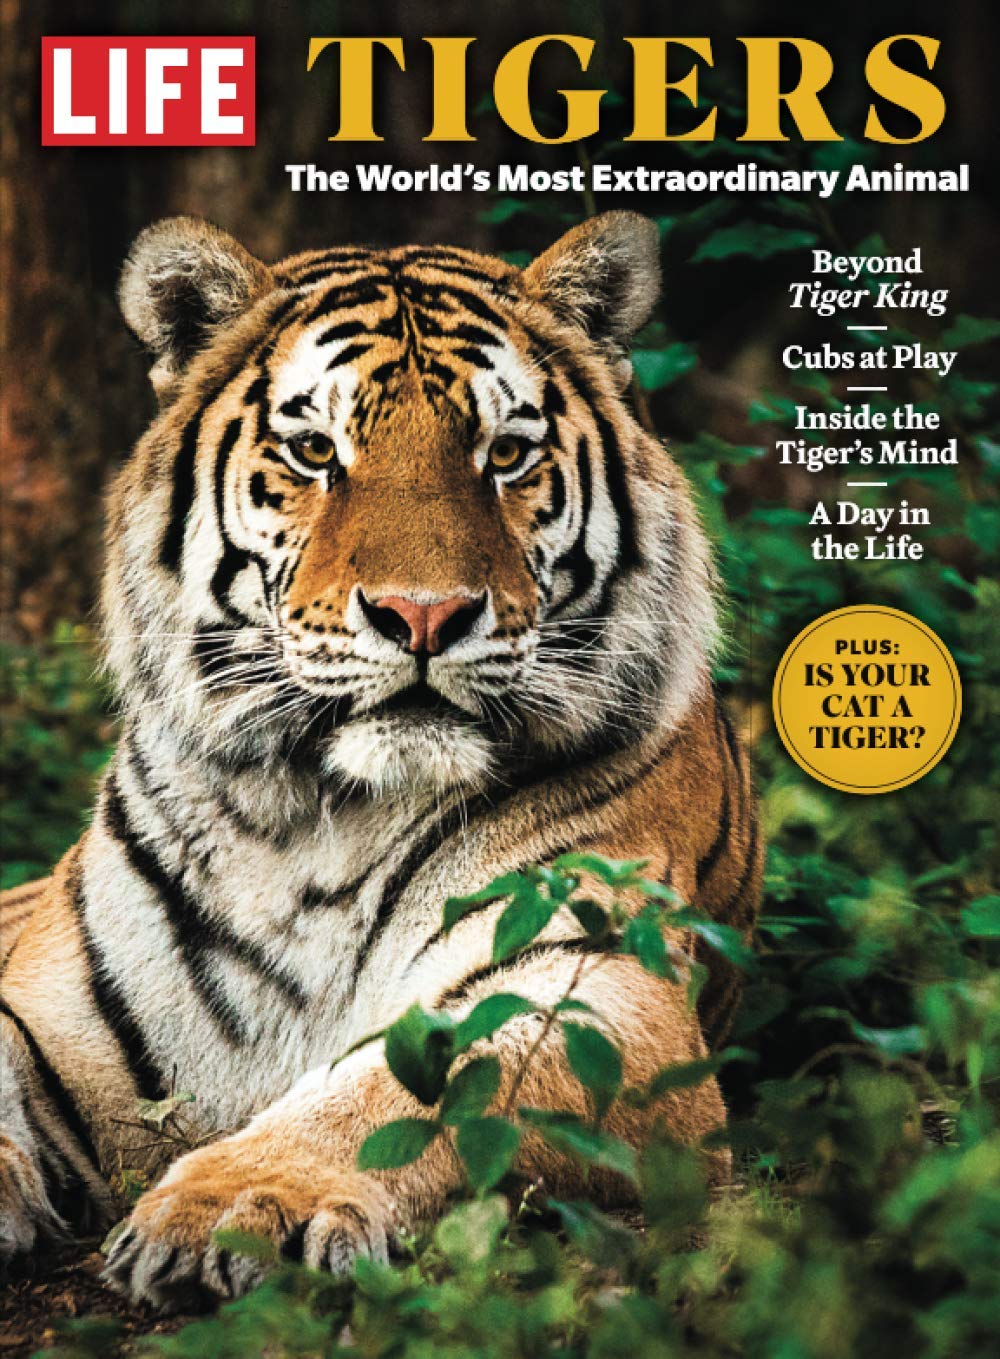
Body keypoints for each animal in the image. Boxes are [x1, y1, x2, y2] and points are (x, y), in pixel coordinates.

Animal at [0, 211, 761, 1309]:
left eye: (506, 452)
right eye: (315, 450)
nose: (424, 615)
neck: (311, 818)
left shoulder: (598, 986)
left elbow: (419, 1080)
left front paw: (239, 1204)